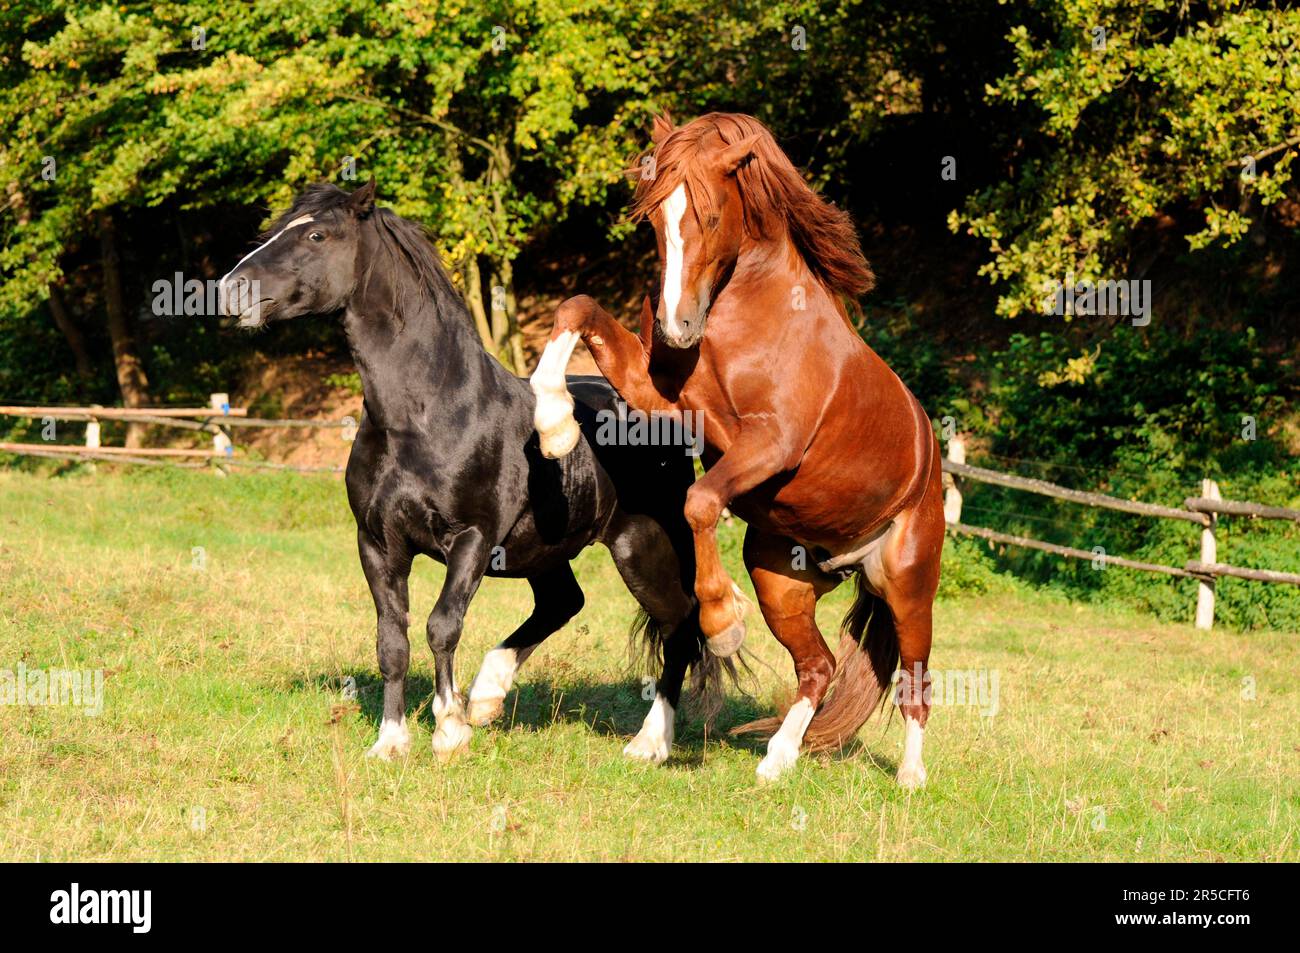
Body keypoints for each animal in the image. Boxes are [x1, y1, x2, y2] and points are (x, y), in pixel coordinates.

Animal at [219, 180, 726, 765]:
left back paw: (650, 743)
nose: (229, 290)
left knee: (679, 625)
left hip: (642, 545)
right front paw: (391, 740)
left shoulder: (472, 539)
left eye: (317, 235)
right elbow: (392, 640)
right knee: (565, 603)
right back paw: (488, 695)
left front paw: (448, 728)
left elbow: (442, 625)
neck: (426, 414)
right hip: (545, 550)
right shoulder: (377, 543)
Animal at [531, 113, 944, 787]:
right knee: (819, 667)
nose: (677, 328)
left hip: (908, 585)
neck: (752, 316)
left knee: (915, 678)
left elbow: (700, 501)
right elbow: (578, 307)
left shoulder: (771, 441)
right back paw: (777, 759)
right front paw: (554, 424)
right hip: (781, 577)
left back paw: (910, 776)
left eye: (710, 215)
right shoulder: (661, 401)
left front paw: (723, 623)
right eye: (654, 217)